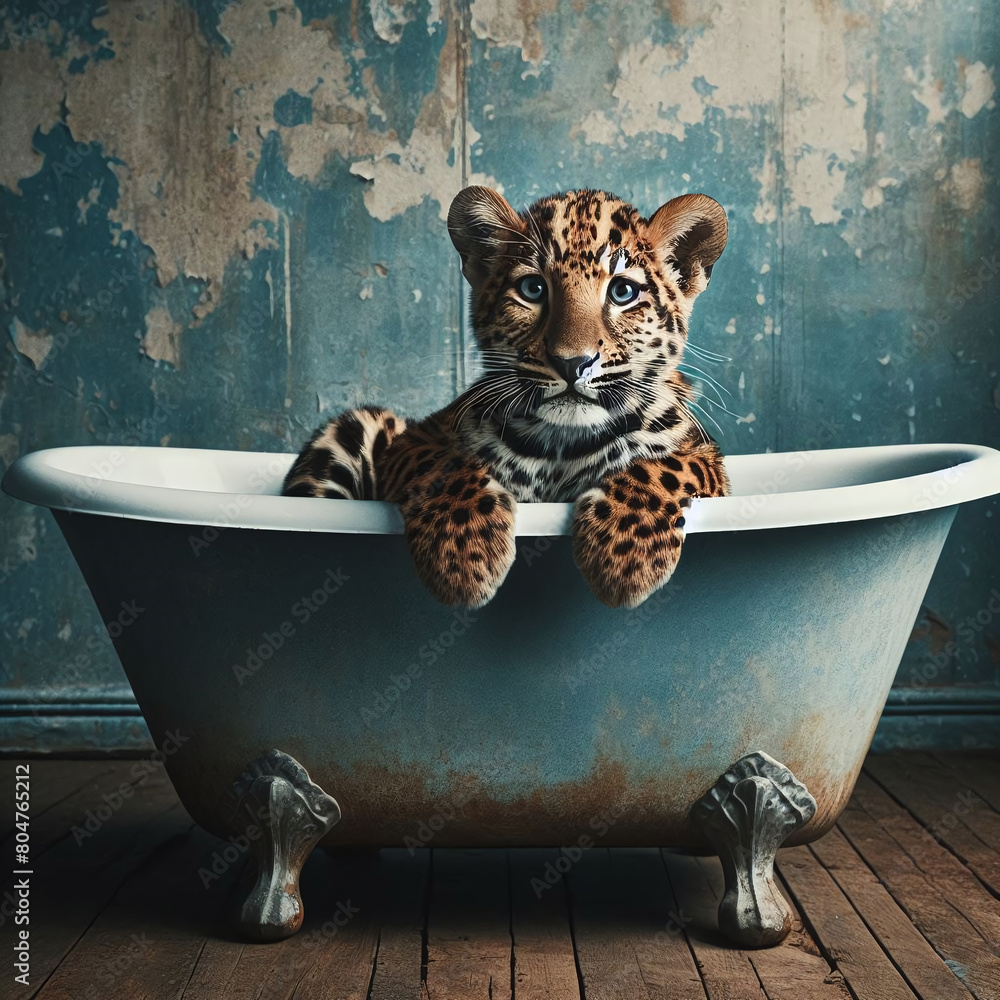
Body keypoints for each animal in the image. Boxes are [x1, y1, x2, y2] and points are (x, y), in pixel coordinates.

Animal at [282, 185, 731, 609]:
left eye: (622, 292)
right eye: (533, 289)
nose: (572, 363)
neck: (562, 446)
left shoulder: (705, 456)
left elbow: (662, 466)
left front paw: (626, 560)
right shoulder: (415, 441)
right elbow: (444, 463)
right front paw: (463, 556)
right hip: (358, 426)